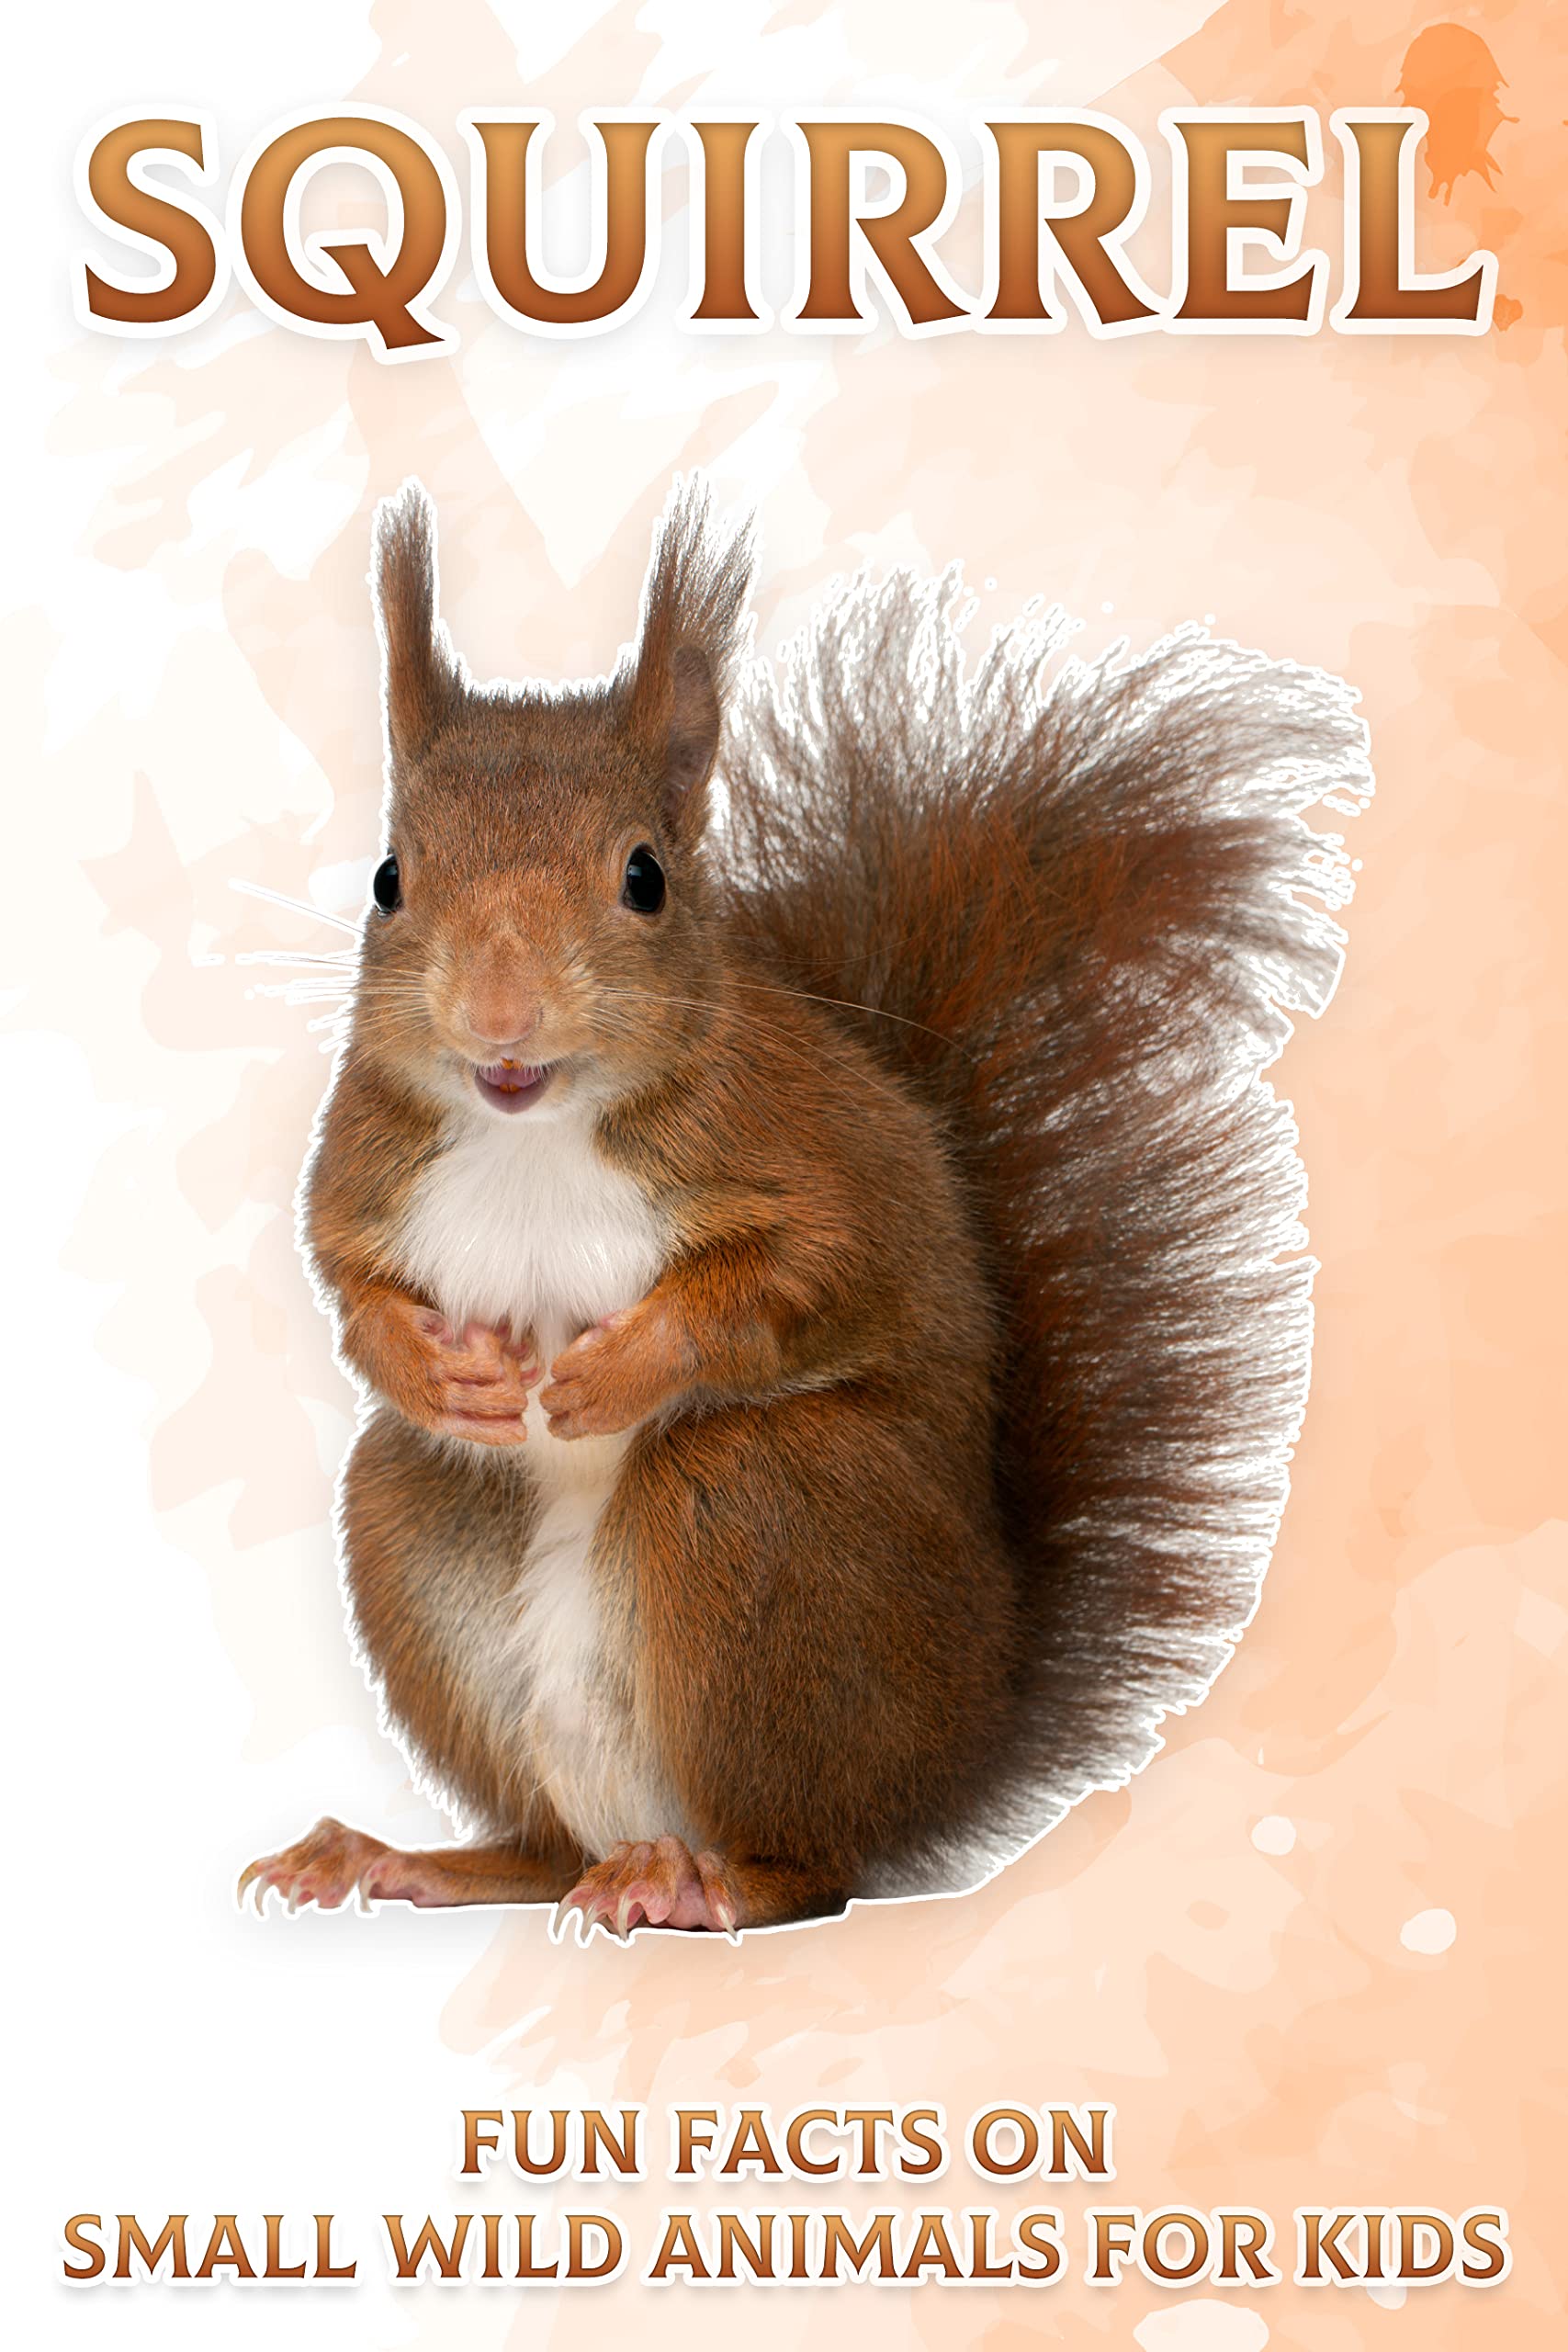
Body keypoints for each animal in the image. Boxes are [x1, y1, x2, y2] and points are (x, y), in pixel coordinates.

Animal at [240, 479, 1365, 1936]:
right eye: (388, 878)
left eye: (645, 877)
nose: (496, 1016)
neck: (535, 1132)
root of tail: (956, 1741)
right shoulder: (365, 1165)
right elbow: (344, 1280)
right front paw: (440, 1371)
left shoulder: (808, 1163)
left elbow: (802, 1281)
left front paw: (613, 1373)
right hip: (414, 1523)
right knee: (536, 1839)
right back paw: (398, 1857)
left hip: (763, 1512)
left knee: (808, 1866)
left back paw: (695, 1883)